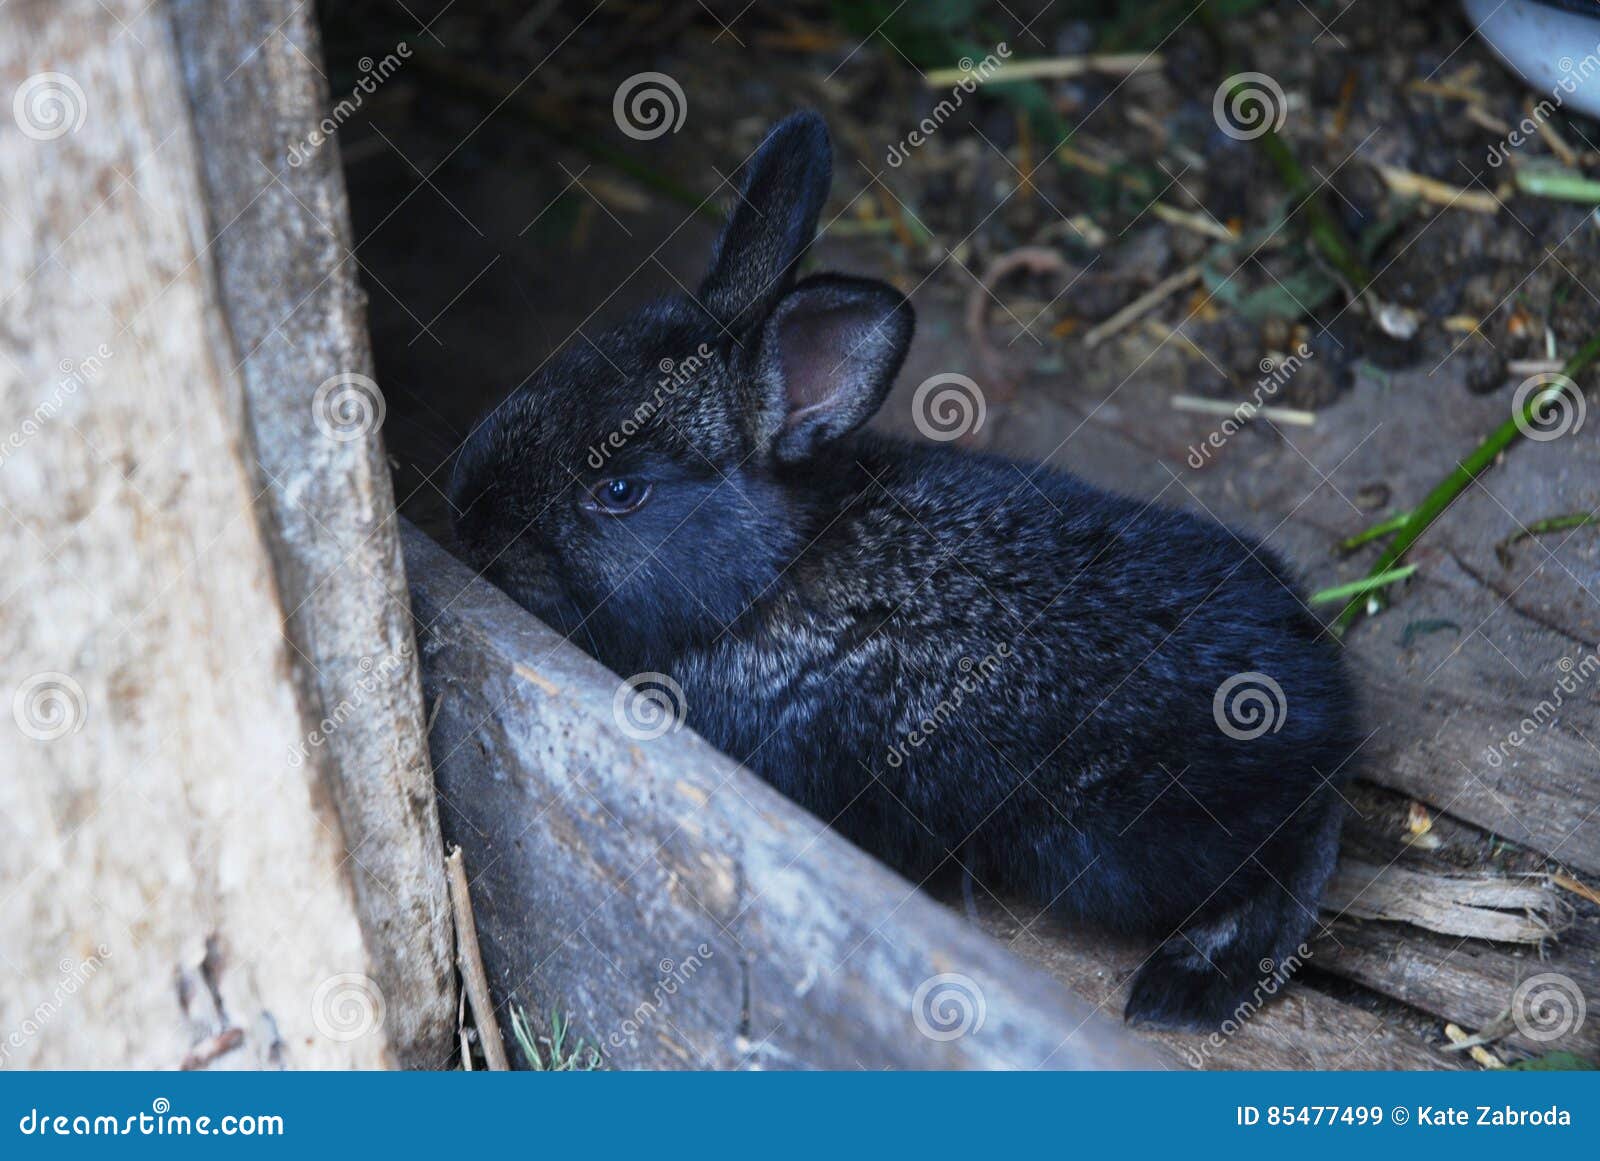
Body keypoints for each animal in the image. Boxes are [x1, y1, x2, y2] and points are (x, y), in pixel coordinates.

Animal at [449, 110, 1358, 1031]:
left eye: (619, 489)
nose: (469, 516)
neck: (773, 577)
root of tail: (1329, 698)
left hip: (1122, 843)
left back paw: (1190, 980)